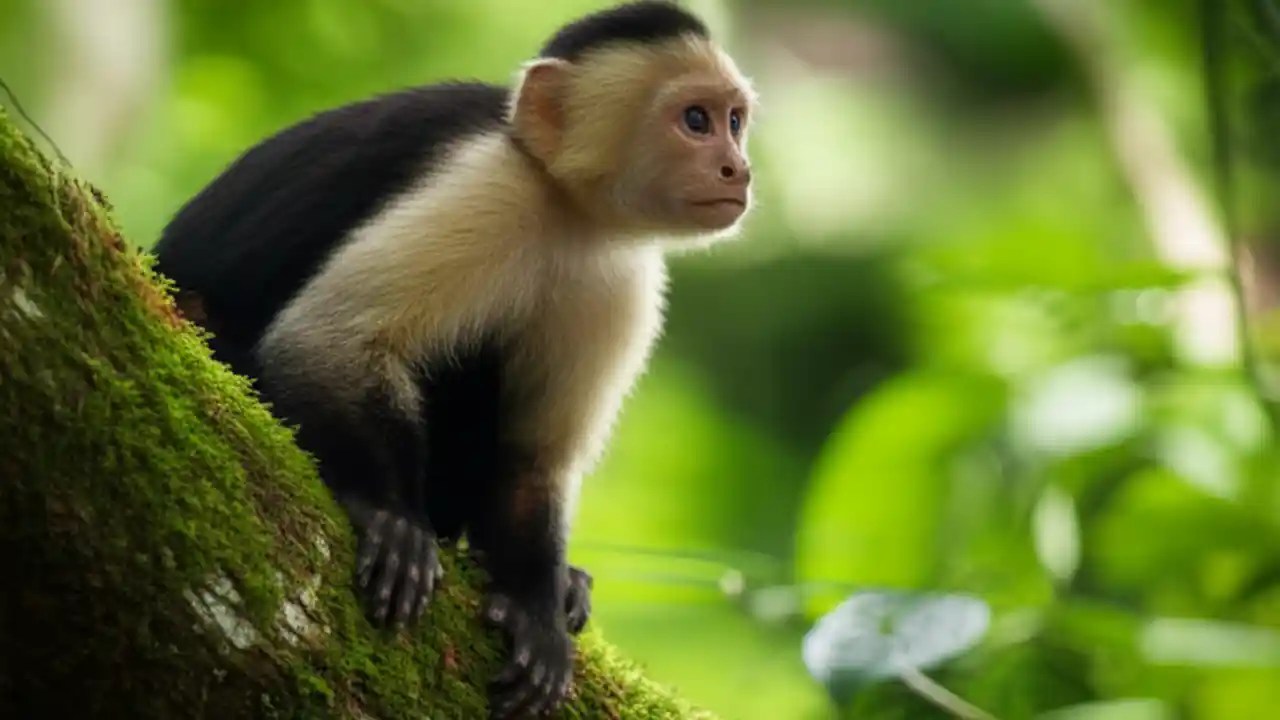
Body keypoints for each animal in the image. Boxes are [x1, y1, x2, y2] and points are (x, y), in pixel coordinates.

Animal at [152, 1, 755, 716]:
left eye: (736, 123)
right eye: (696, 120)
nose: (739, 169)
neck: (563, 206)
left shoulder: (618, 280)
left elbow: (533, 461)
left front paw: (536, 607)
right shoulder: (488, 188)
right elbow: (326, 342)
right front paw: (391, 517)